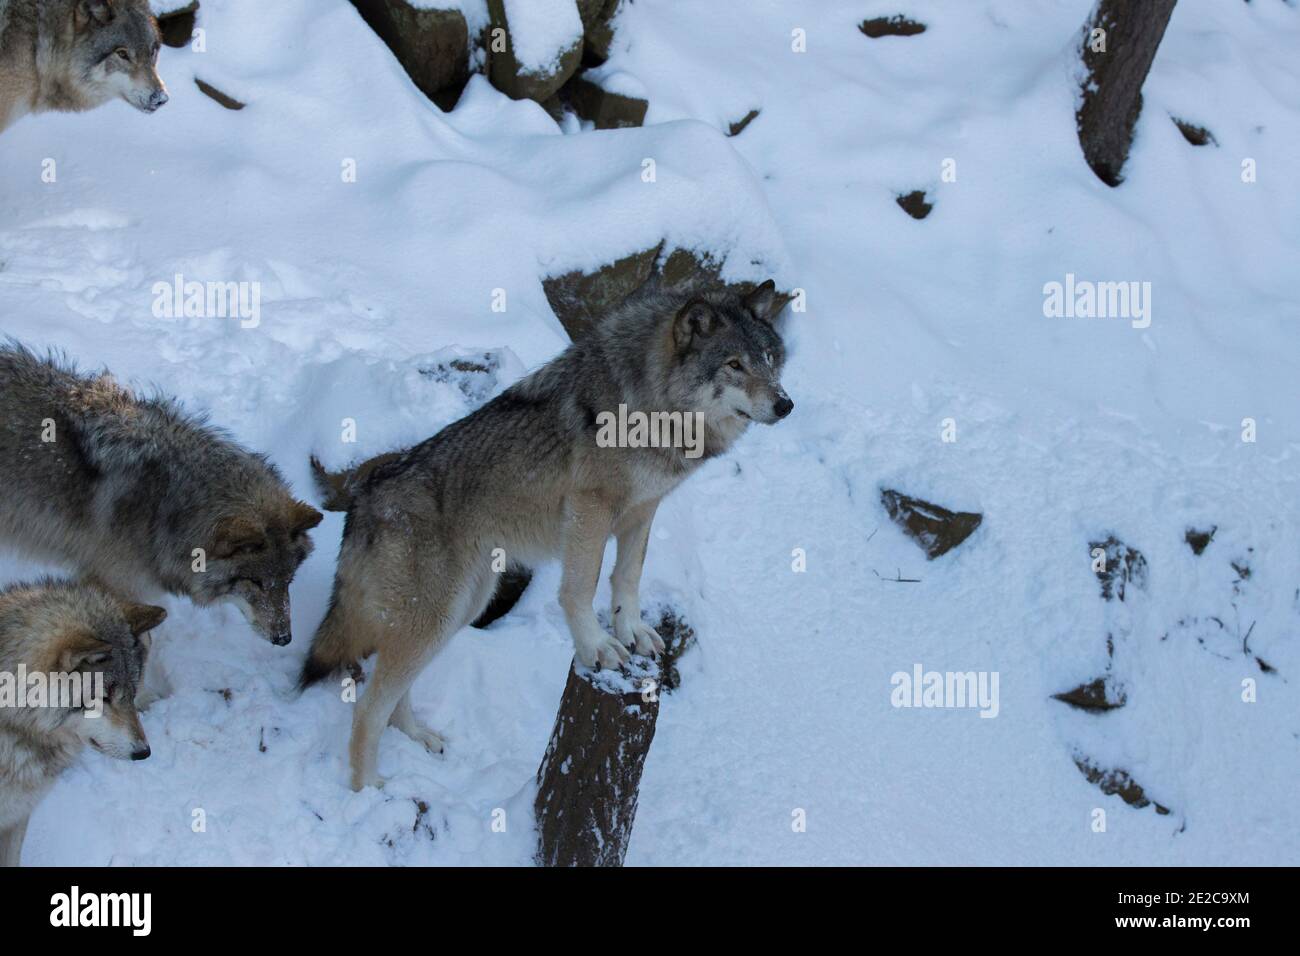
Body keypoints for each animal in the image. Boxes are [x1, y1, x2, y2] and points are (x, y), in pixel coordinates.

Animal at [300, 280, 793, 790]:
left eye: (769, 359)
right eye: (734, 364)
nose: (785, 404)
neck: (653, 405)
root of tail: (362, 500)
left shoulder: (643, 509)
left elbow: (627, 577)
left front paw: (631, 632)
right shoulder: (590, 508)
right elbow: (581, 587)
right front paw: (596, 646)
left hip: (458, 611)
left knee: (394, 694)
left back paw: (419, 738)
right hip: (436, 618)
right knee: (366, 709)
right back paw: (368, 790)